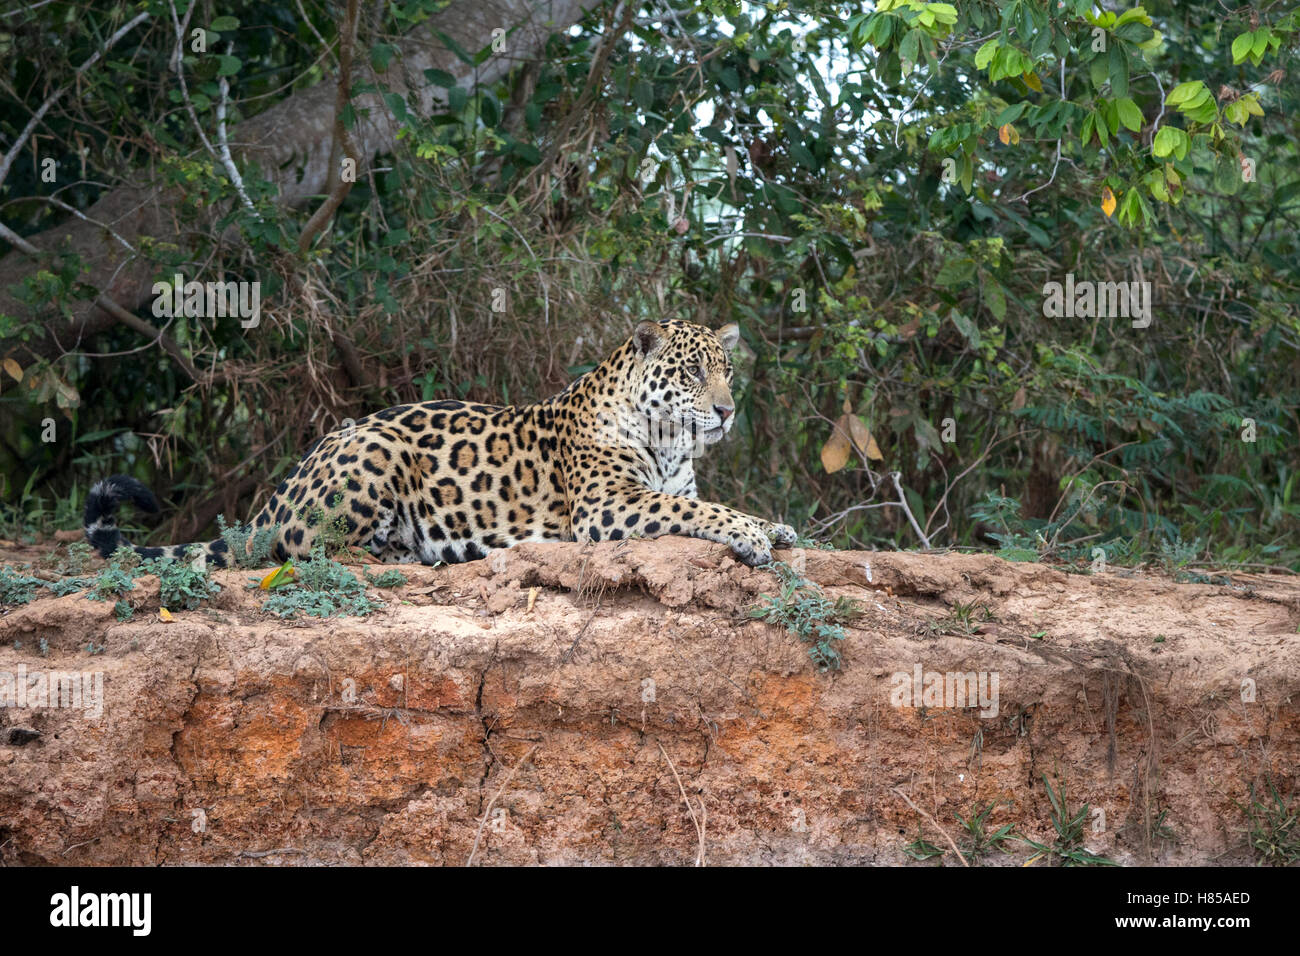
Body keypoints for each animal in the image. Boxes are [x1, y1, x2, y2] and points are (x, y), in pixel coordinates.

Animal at [84, 319, 798, 569]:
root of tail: (280, 489)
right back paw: (406, 555)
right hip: (374, 451)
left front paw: (777, 527)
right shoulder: (608, 506)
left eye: (727, 371)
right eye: (691, 373)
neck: (669, 443)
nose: (728, 411)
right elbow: (696, 510)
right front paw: (753, 533)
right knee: (307, 547)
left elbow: (698, 501)